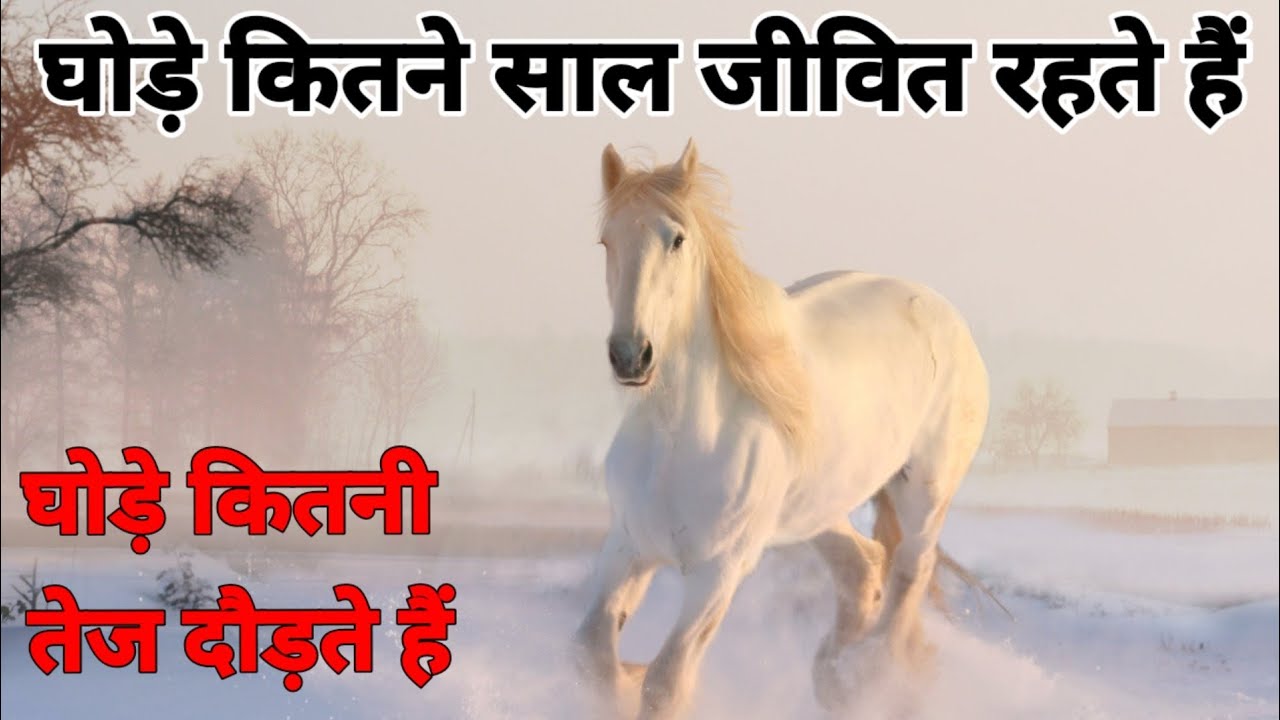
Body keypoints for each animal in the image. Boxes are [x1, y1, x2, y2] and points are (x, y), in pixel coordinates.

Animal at [572, 139, 991, 720]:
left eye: (676, 239)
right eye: (606, 240)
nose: (632, 355)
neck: (679, 439)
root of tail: (943, 312)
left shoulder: (719, 571)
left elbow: (666, 681)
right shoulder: (629, 547)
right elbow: (593, 654)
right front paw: (624, 679)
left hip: (924, 492)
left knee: (910, 572)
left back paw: (871, 677)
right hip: (818, 507)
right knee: (863, 568)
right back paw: (835, 678)